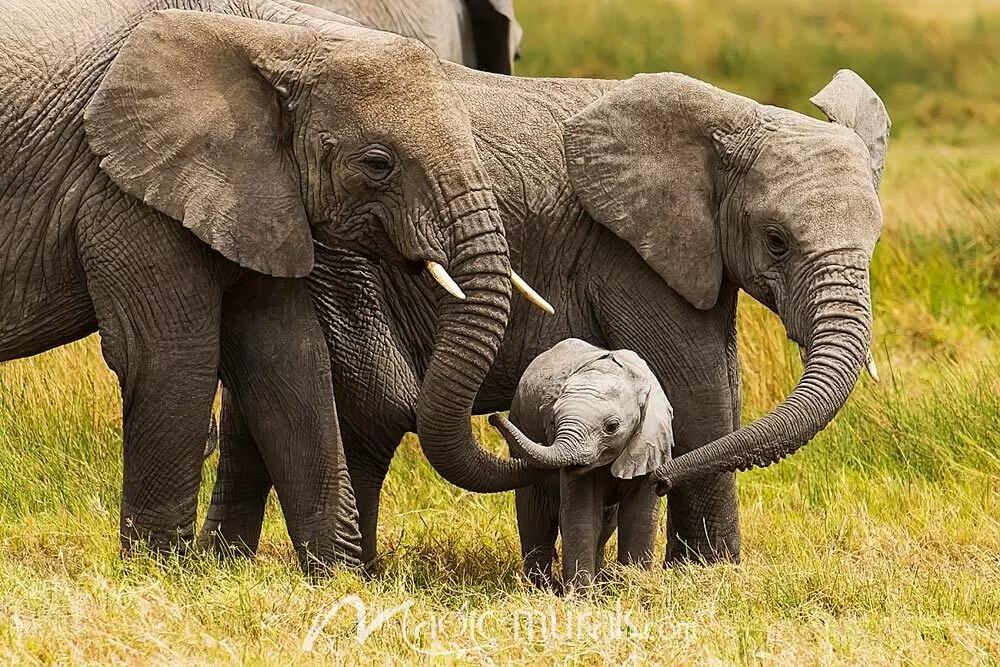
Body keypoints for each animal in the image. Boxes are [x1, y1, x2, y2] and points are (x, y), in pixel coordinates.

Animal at [486, 338, 674, 590]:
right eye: (553, 422)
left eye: (612, 427)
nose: (493, 417)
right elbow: (581, 517)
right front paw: (581, 596)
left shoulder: (649, 442)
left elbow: (639, 518)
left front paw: (634, 588)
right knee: (535, 520)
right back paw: (539, 588)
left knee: (605, 524)